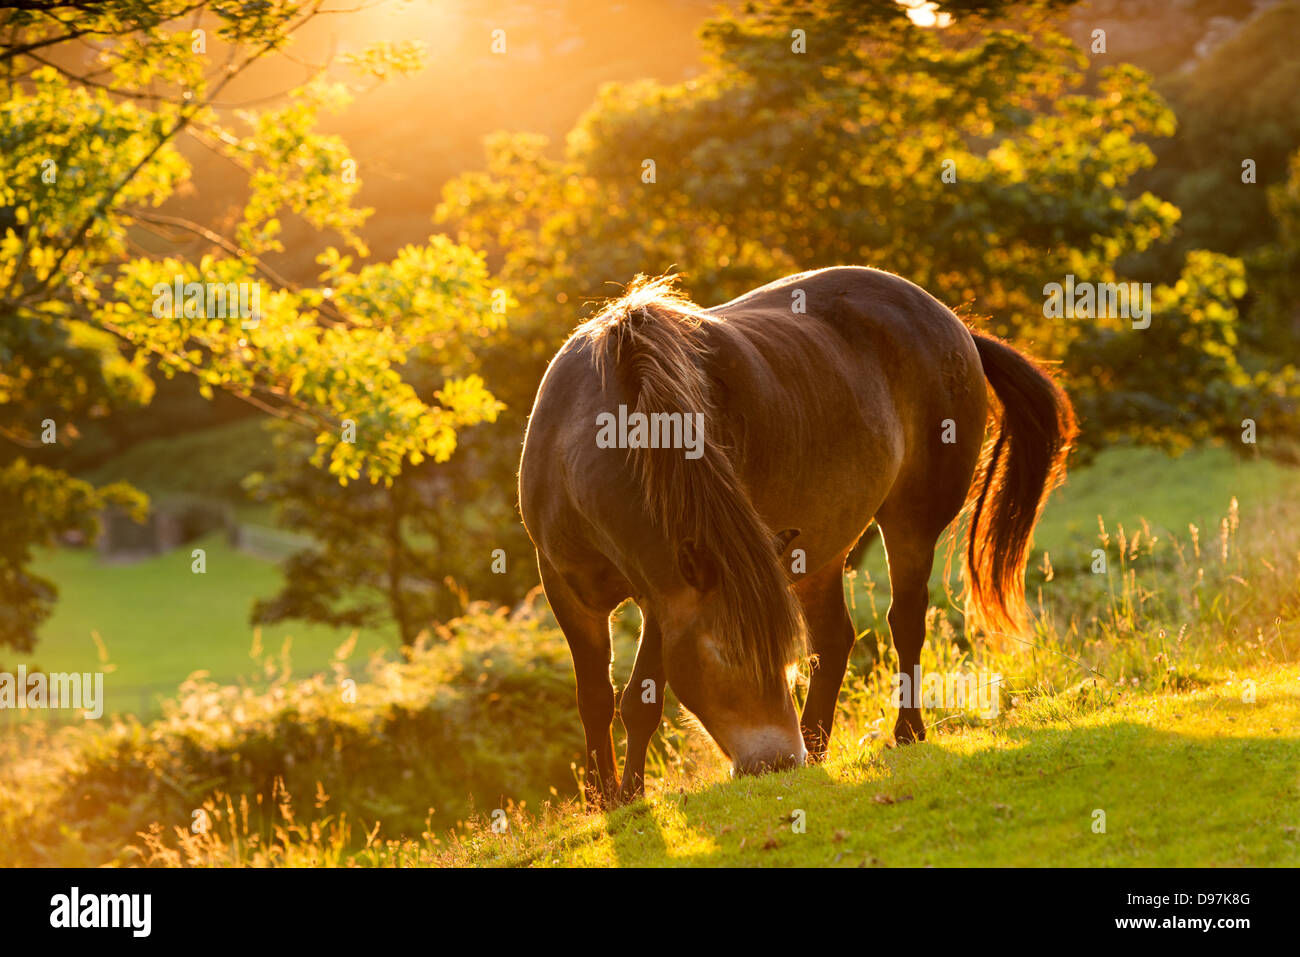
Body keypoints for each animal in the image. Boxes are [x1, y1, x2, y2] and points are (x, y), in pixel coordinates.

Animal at [518, 265, 1076, 807]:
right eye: (723, 653)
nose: (779, 761)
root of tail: (955, 324)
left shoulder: (663, 594)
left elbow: (641, 698)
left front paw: (631, 794)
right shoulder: (567, 591)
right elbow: (595, 699)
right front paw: (604, 800)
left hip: (910, 521)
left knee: (906, 622)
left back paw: (905, 732)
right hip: (819, 552)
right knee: (835, 640)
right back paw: (818, 742)